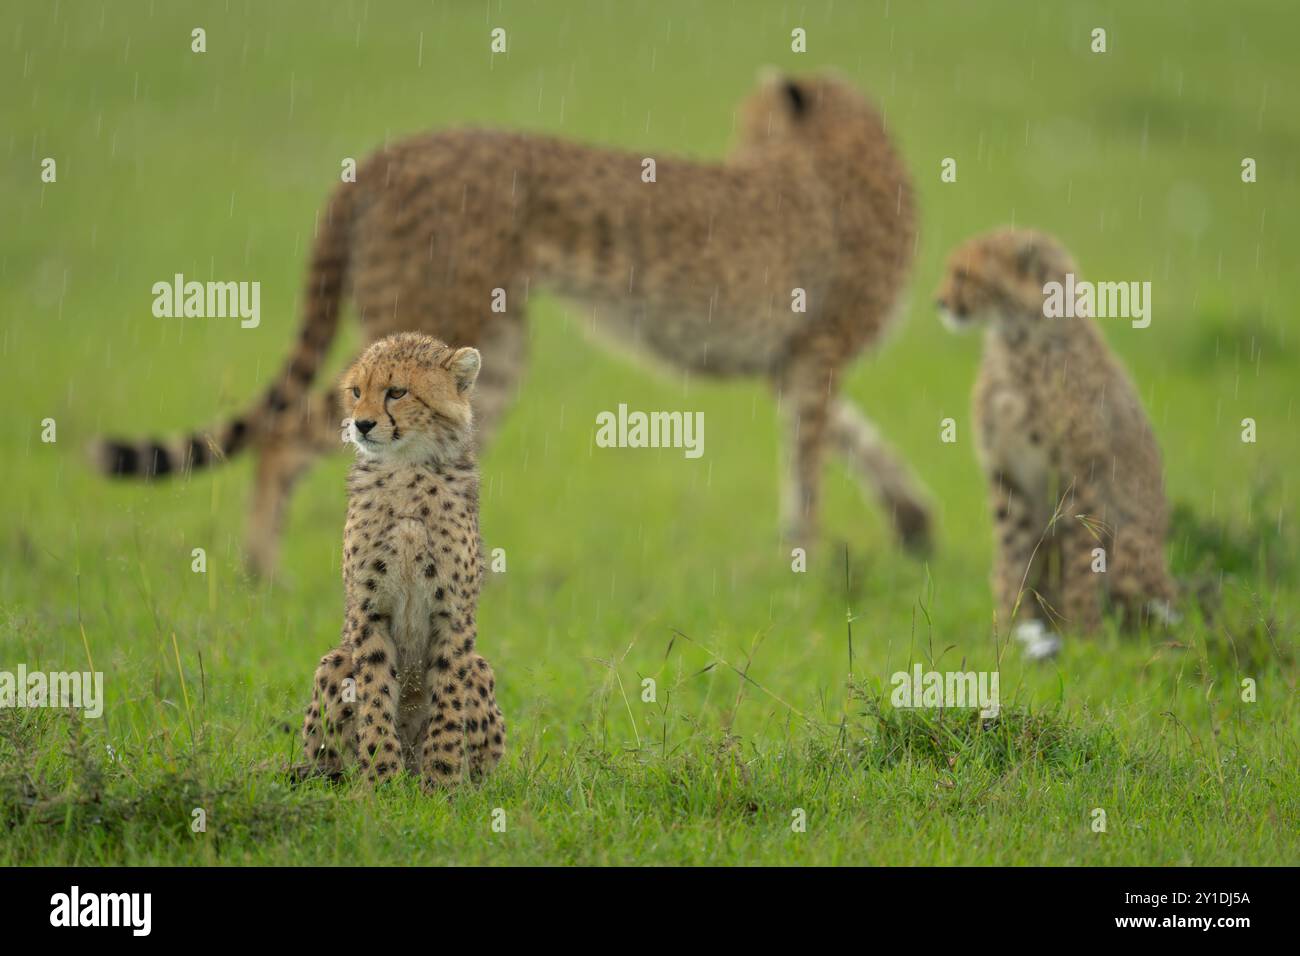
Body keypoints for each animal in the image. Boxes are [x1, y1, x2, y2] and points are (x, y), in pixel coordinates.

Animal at [93, 70, 931, 575]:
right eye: (747, 130)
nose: (732, 161)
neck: (842, 153)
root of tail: (386, 154)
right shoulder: (818, 350)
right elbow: (810, 463)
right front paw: (808, 560)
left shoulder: (794, 360)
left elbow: (852, 439)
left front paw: (913, 522)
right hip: (427, 345)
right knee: (291, 437)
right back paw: (263, 575)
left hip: (481, 355)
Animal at [300, 333, 504, 788]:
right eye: (357, 392)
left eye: (396, 392)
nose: (361, 424)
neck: (406, 470)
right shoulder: (368, 610)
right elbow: (375, 691)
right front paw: (380, 778)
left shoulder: (453, 614)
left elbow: (449, 695)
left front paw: (442, 780)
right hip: (336, 663)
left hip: (480, 668)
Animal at [935, 228, 1177, 659]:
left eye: (963, 274)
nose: (940, 301)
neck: (1016, 339)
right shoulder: (1005, 472)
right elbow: (1012, 554)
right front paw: (1012, 630)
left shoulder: (1079, 474)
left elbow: (1082, 559)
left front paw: (1085, 637)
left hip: (1133, 550)